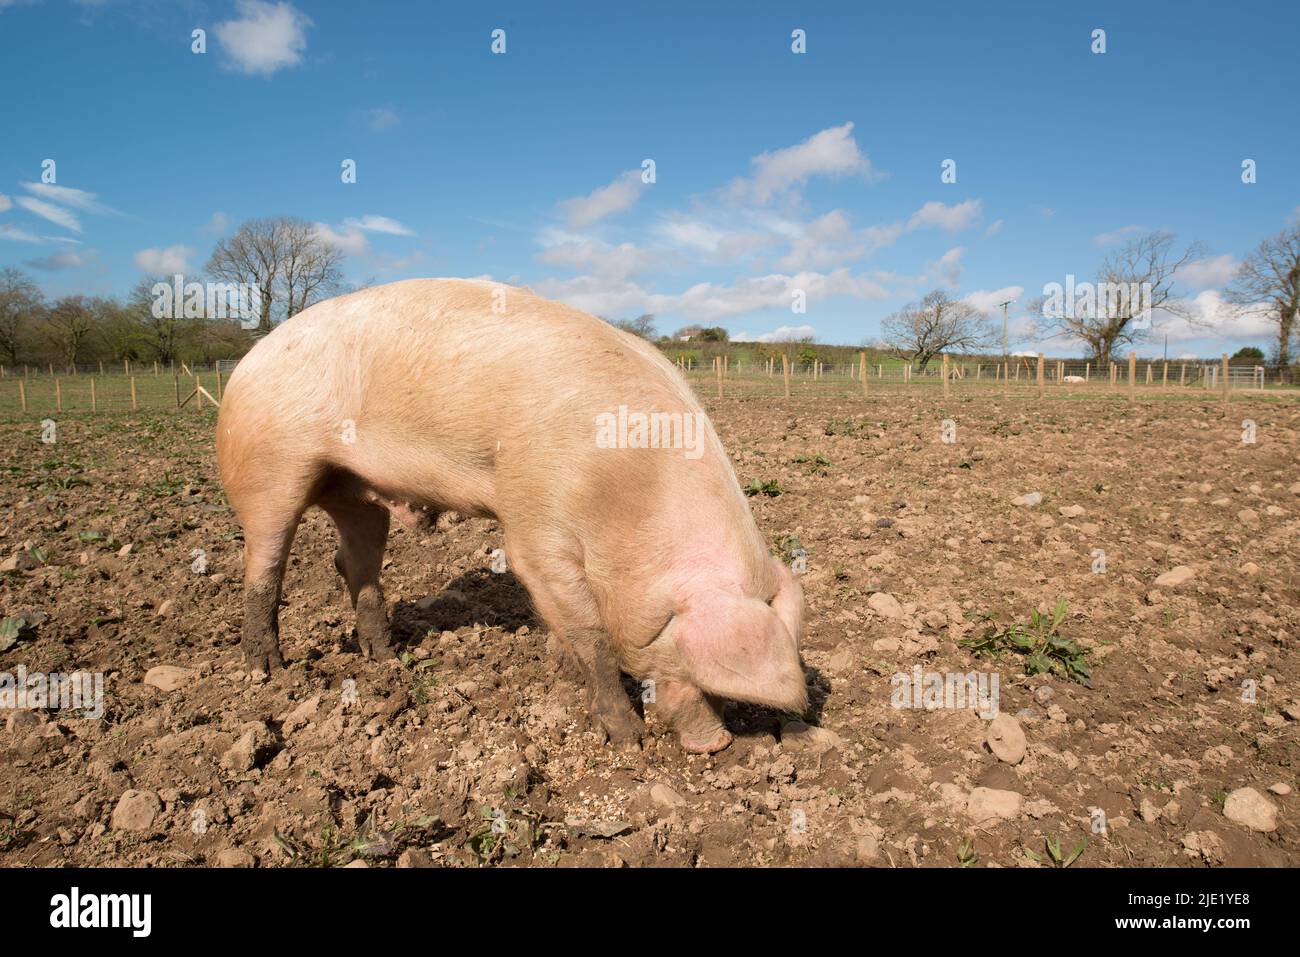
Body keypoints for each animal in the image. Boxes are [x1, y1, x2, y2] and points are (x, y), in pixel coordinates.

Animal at [216, 279, 807, 753]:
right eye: (689, 664)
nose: (719, 743)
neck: (626, 495)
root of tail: (246, 360)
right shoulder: (535, 524)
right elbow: (592, 632)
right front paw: (627, 739)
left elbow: (569, 625)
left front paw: (560, 668)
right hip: (269, 468)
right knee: (264, 564)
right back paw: (267, 670)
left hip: (356, 494)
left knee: (353, 564)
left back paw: (384, 656)